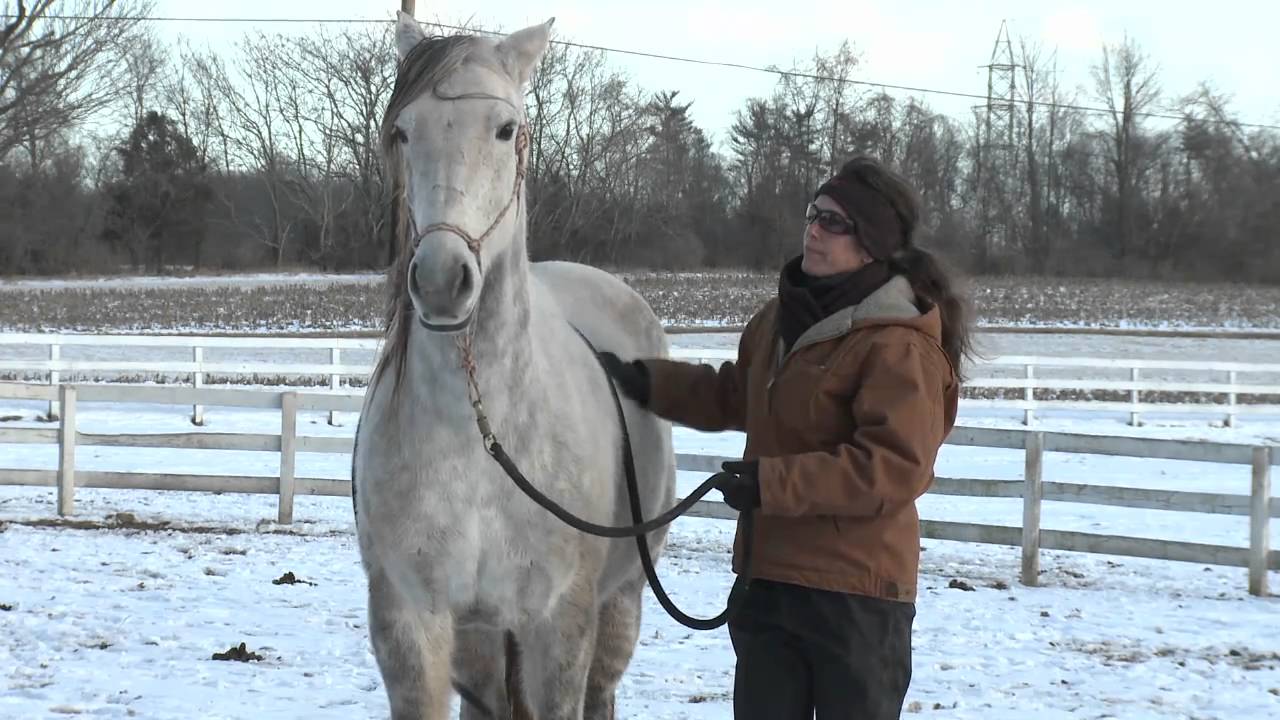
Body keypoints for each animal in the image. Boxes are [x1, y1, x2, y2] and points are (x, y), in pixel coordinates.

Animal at [351, 10, 677, 719]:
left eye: (506, 129)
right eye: (403, 130)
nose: (441, 281)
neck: (480, 438)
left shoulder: (559, 624)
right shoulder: (412, 622)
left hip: (619, 607)